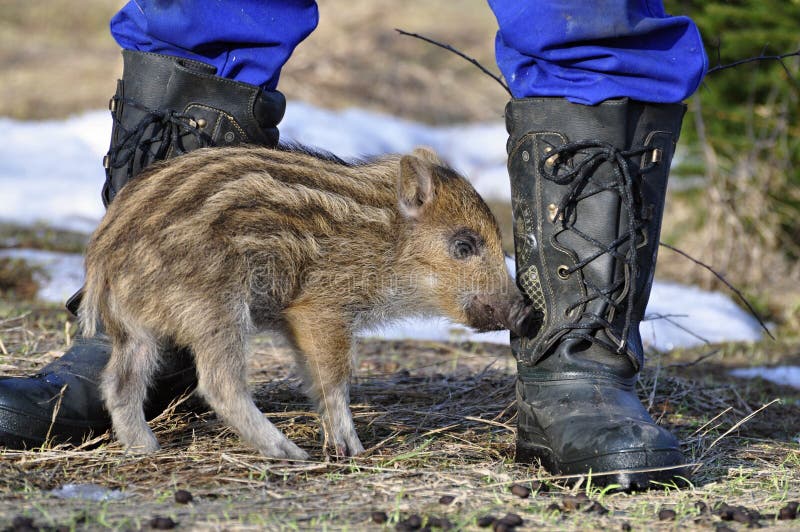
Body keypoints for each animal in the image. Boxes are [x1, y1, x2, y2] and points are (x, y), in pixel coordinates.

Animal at [80, 145, 537, 459]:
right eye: (464, 245)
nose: (525, 314)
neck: (387, 242)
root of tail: (103, 255)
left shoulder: (295, 322)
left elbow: (314, 378)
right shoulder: (321, 309)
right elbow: (334, 380)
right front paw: (353, 451)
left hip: (138, 330)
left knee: (119, 382)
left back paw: (146, 449)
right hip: (215, 307)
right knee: (218, 382)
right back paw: (288, 453)